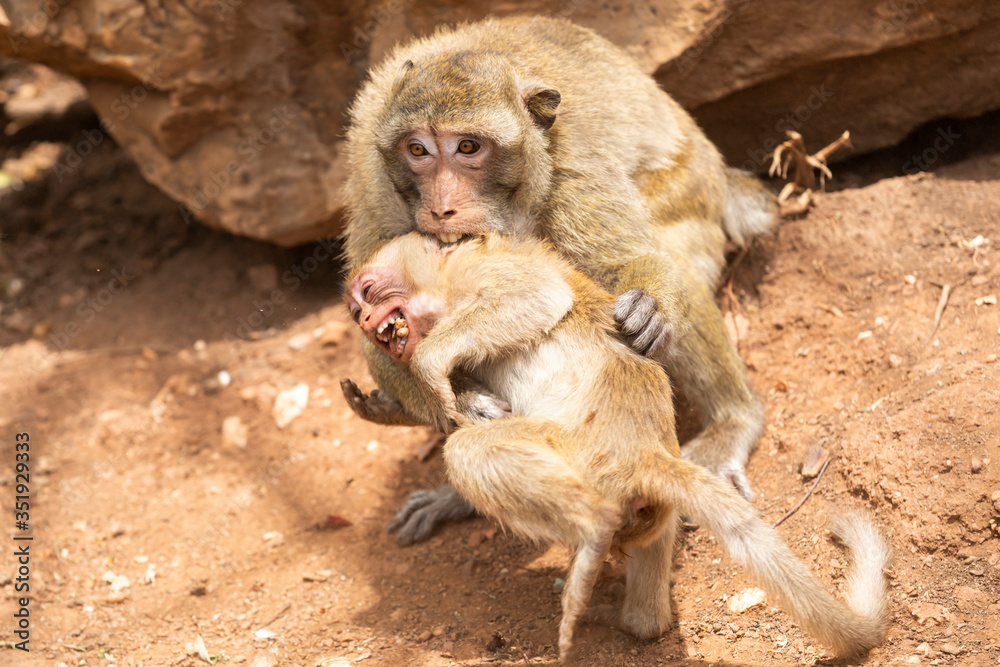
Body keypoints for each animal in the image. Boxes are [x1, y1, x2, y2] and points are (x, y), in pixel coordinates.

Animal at [340, 15, 777, 544]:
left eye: (468, 146)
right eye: (417, 150)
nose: (441, 206)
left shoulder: (569, 165)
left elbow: (637, 263)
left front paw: (649, 307)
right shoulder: (374, 189)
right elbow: (374, 342)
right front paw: (465, 403)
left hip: (687, 190)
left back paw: (735, 418)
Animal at [342, 231, 889, 663]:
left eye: (368, 292)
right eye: (356, 311)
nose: (365, 321)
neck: (442, 288)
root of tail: (644, 452)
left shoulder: (477, 270)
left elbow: (536, 296)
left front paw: (429, 369)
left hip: (585, 459)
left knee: (472, 454)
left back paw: (589, 533)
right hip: (650, 507)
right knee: (650, 582)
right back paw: (634, 620)